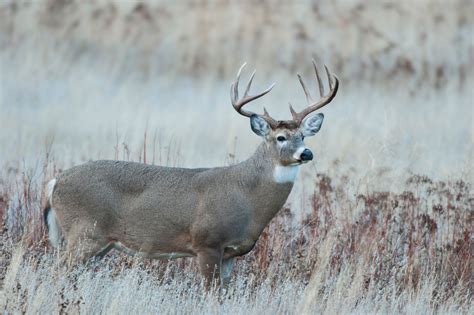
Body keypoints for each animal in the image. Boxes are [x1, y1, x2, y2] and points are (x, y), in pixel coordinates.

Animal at [43, 59, 336, 288]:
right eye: (280, 137)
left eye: (303, 136)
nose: (306, 154)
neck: (247, 197)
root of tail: (55, 183)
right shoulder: (206, 243)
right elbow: (211, 294)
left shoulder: (230, 254)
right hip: (84, 233)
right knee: (58, 272)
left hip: (98, 243)